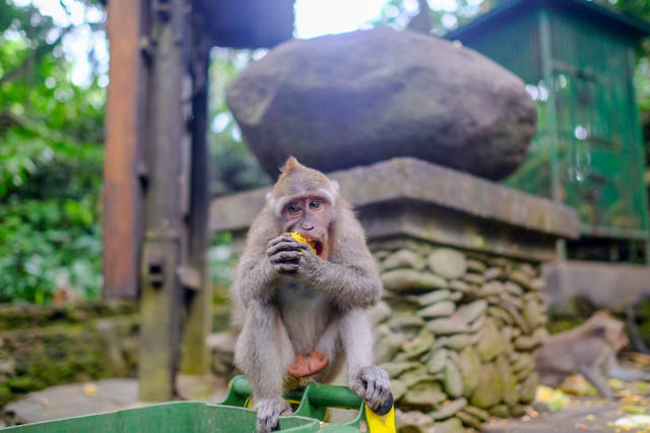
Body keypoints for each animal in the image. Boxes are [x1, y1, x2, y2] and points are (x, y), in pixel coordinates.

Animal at [232, 157, 391, 433]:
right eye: (294, 208)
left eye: (315, 204)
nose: (307, 226)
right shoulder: (263, 228)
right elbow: (245, 288)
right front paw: (273, 262)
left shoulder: (347, 226)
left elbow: (368, 285)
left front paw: (311, 266)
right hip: (286, 368)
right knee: (261, 304)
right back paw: (270, 399)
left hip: (325, 365)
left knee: (352, 301)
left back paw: (362, 375)